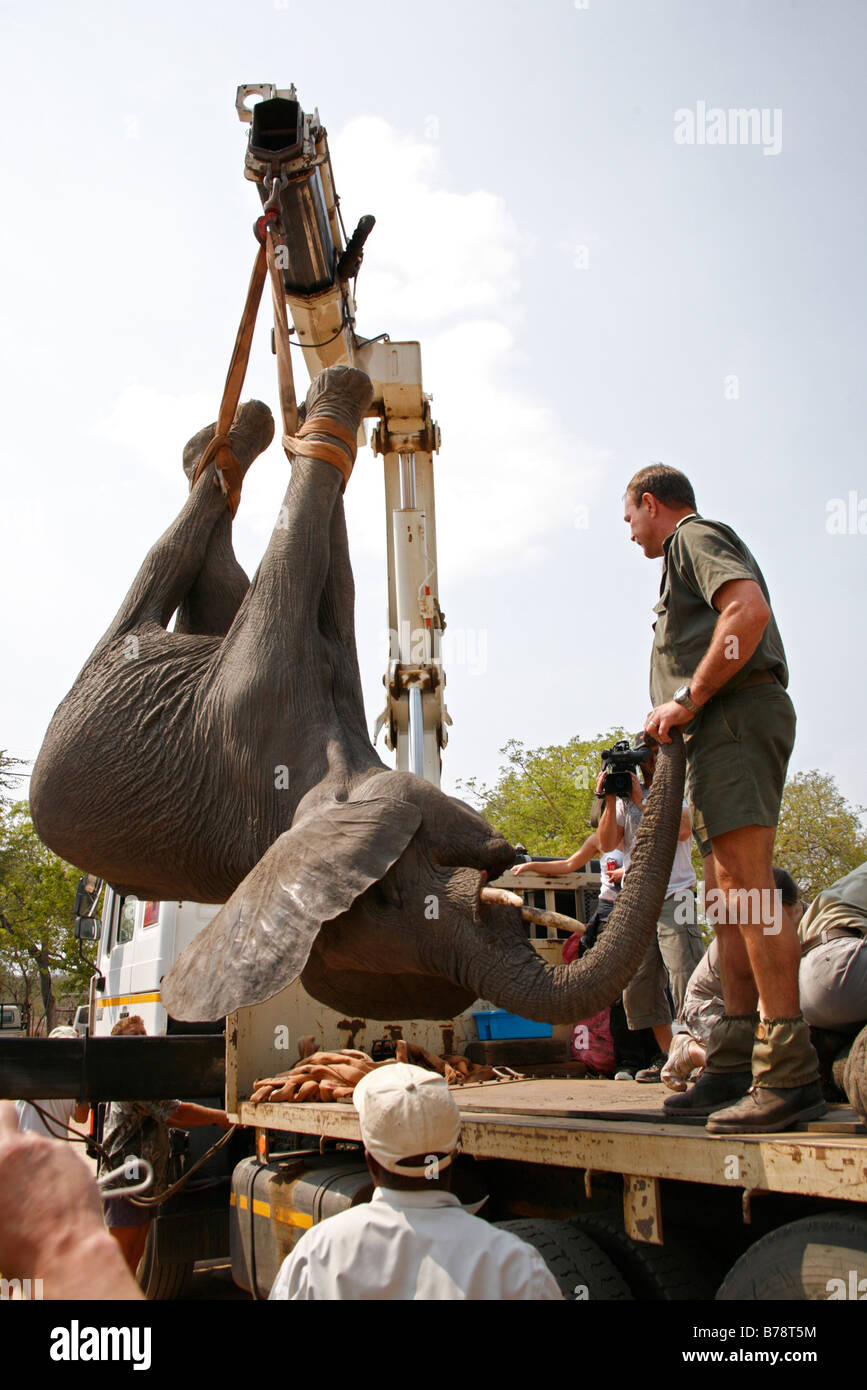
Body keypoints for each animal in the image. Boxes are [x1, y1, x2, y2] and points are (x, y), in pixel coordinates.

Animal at [31, 366, 686, 1024]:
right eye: (386, 898)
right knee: (168, 559)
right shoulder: (250, 692)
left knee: (212, 574)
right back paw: (232, 439)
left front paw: (326, 392)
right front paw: (336, 386)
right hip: (118, 658)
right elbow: (299, 554)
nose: (654, 731)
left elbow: (333, 572)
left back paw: (222, 448)